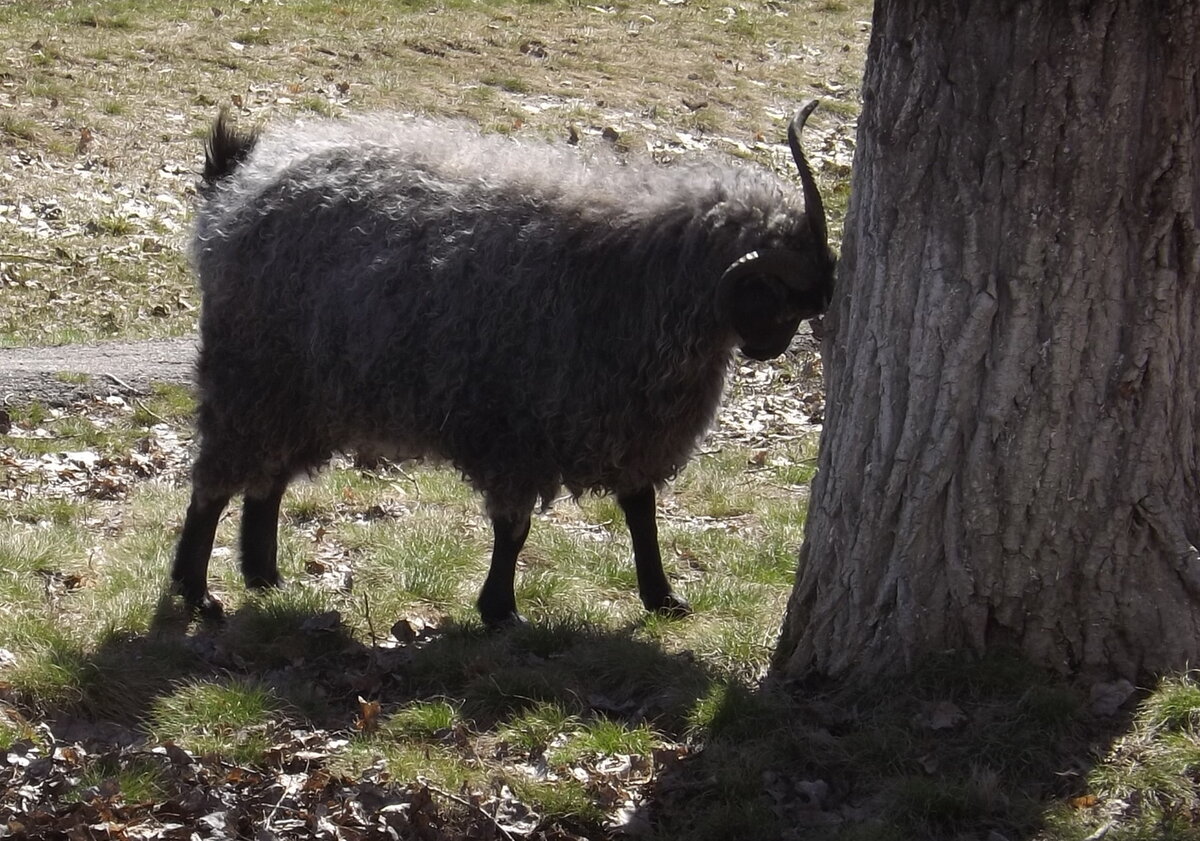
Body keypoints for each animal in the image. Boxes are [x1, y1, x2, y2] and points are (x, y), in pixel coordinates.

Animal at [171, 103, 835, 623]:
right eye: (790, 298)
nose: (773, 349)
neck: (641, 273)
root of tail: (235, 190)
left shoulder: (626, 427)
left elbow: (641, 513)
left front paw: (662, 598)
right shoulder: (517, 434)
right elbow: (514, 530)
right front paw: (500, 609)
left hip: (302, 396)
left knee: (268, 481)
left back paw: (264, 576)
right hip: (251, 379)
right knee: (211, 486)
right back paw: (196, 593)